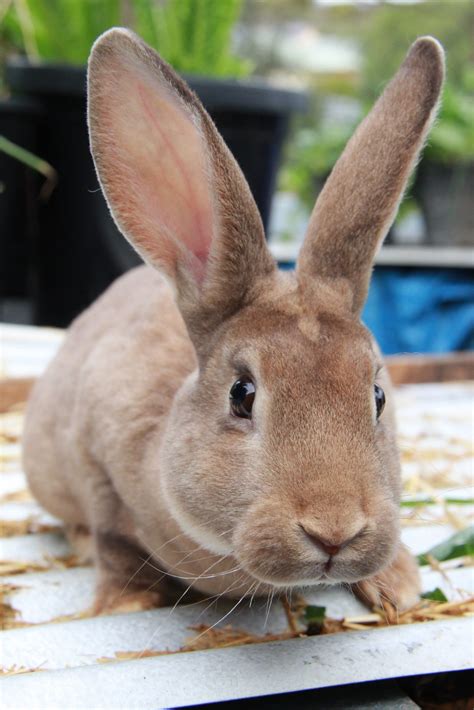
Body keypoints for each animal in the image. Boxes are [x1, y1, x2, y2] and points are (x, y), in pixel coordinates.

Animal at [23, 29, 444, 614]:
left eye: (378, 397)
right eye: (241, 395)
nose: (333, 532)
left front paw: (398, 588)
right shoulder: (93, 455)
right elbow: (111, 535)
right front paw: (128, 601)